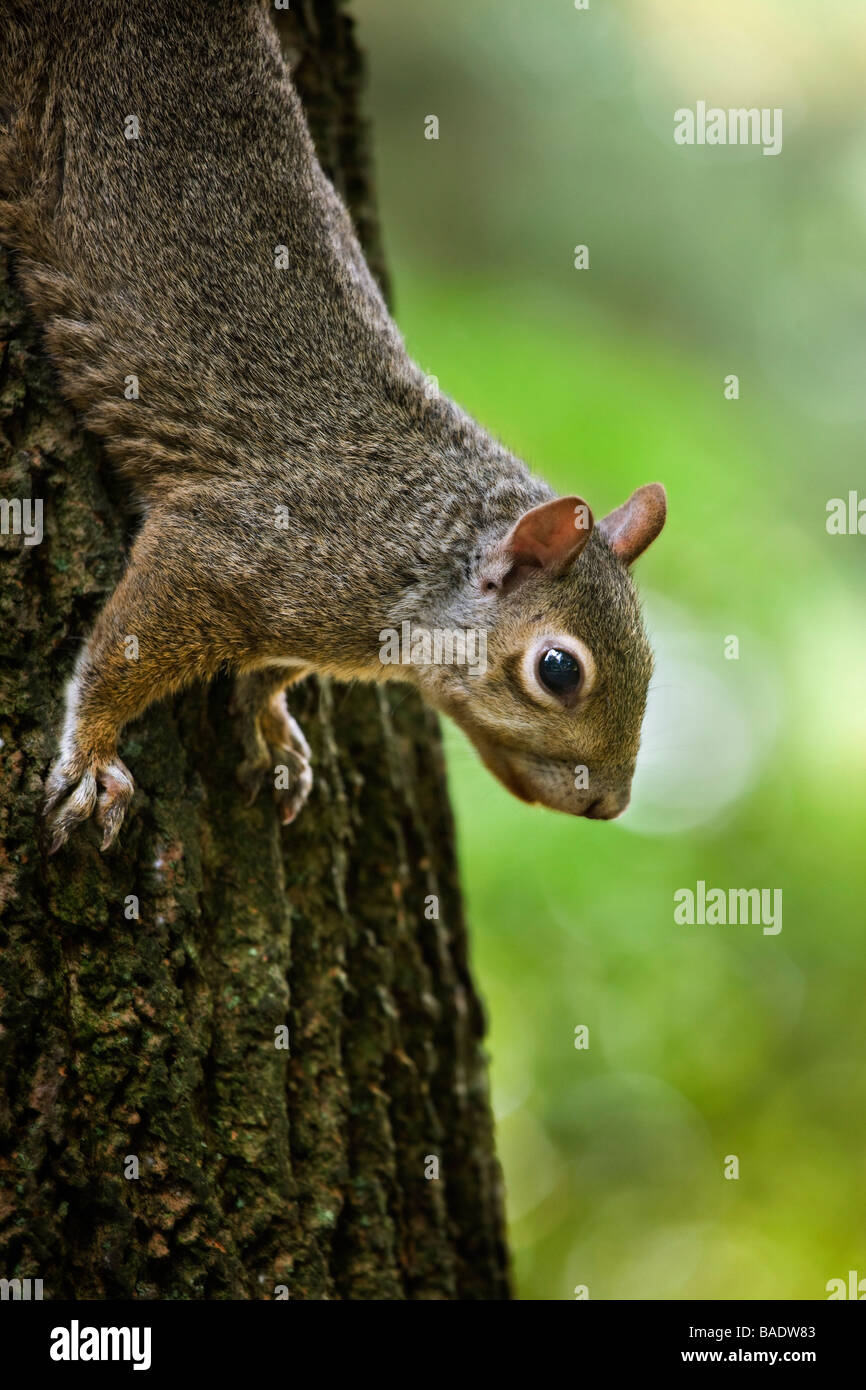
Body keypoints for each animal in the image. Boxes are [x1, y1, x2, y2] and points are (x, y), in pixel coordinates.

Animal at [0, 0, 666, 853]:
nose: (609, 804)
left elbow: (270, 672)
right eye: (558, 671)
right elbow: (123, 649)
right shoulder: (232, 546)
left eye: (649, 662)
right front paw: (91, 753)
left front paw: (270, 722)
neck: (422, 554)